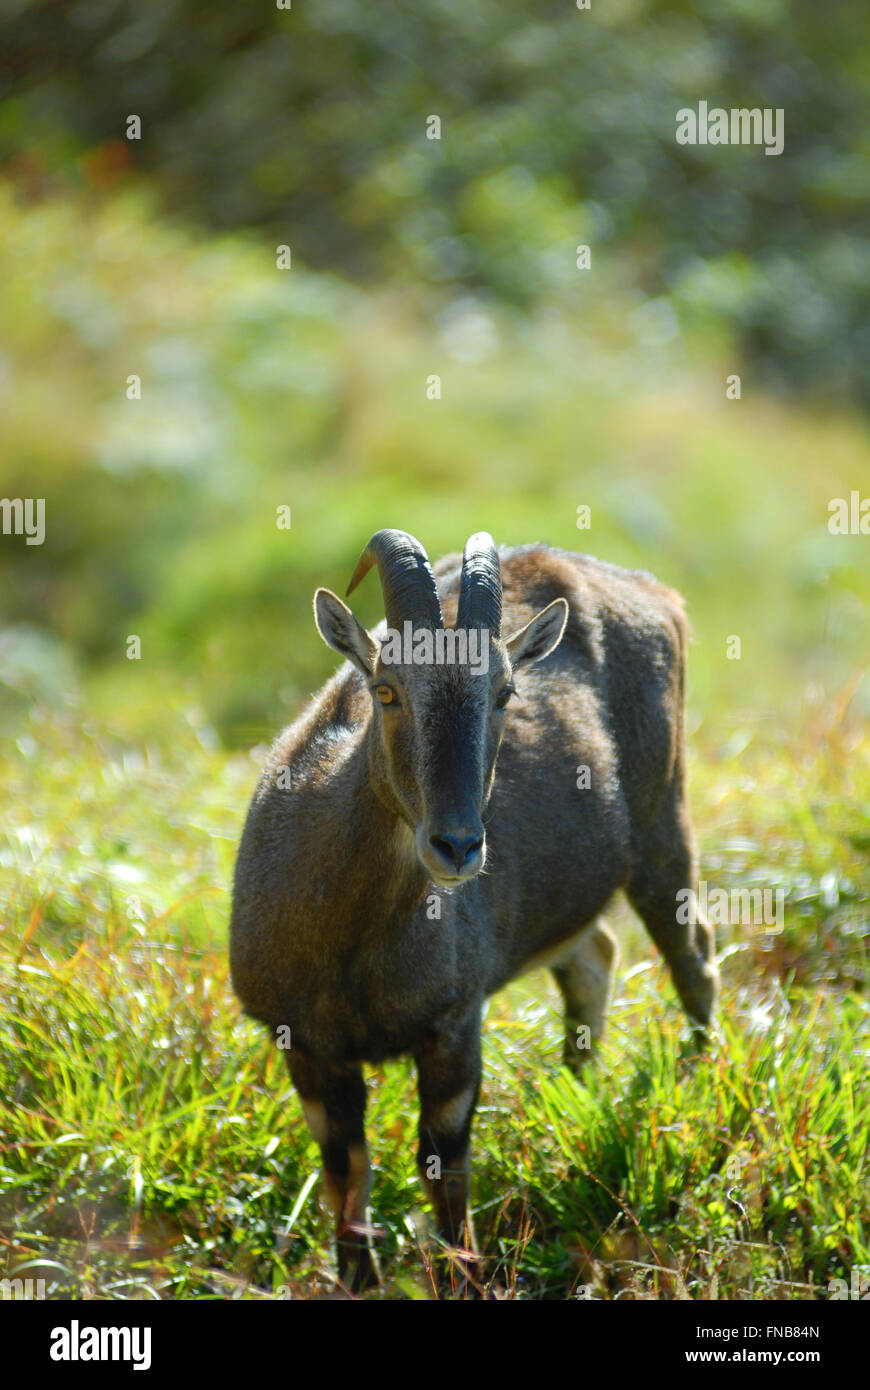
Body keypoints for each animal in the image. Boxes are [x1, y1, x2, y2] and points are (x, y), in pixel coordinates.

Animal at [230, 529, 718, 1292]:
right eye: (386, 688)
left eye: (504, 693)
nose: (458, 845)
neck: (351, 944)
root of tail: (655, 594)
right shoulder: (305, 1043)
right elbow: (347, 1170)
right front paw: (358, 1279)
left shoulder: (454, 1025)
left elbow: (444, 1163)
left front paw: (464, 1275)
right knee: (594, 959)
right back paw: (575, 1095)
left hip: (663, 819)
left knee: (695, 962)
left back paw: (695, 1091)